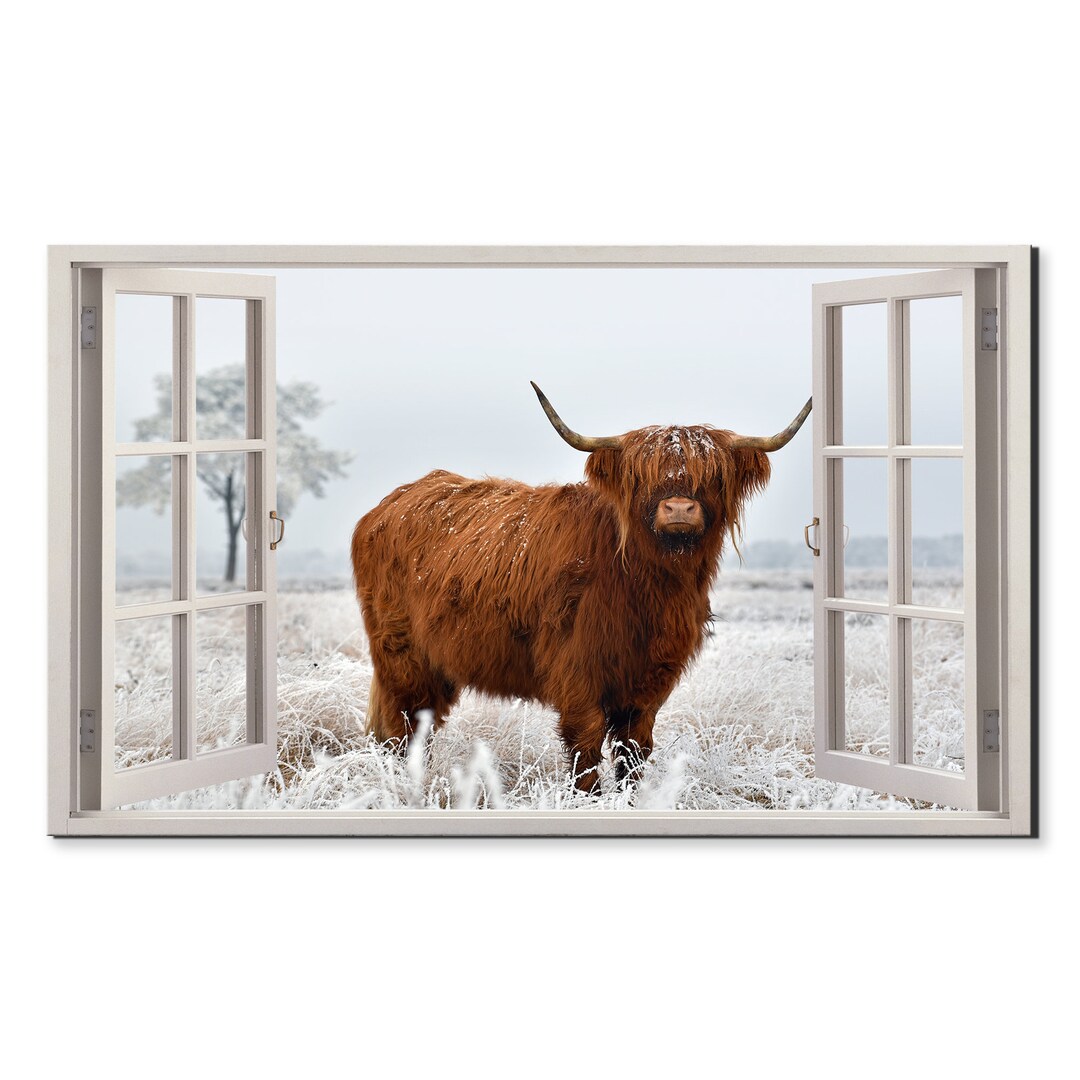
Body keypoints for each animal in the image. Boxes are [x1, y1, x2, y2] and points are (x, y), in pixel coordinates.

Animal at [351, 383, 811, 791]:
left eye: (713, 475)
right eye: (641, 476)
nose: (679, 508)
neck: (649, 589)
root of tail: (387, 505)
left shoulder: (649, 682)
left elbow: (633, 751)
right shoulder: (577, 674)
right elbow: (585, 751)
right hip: (402, 657)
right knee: (402, 727)